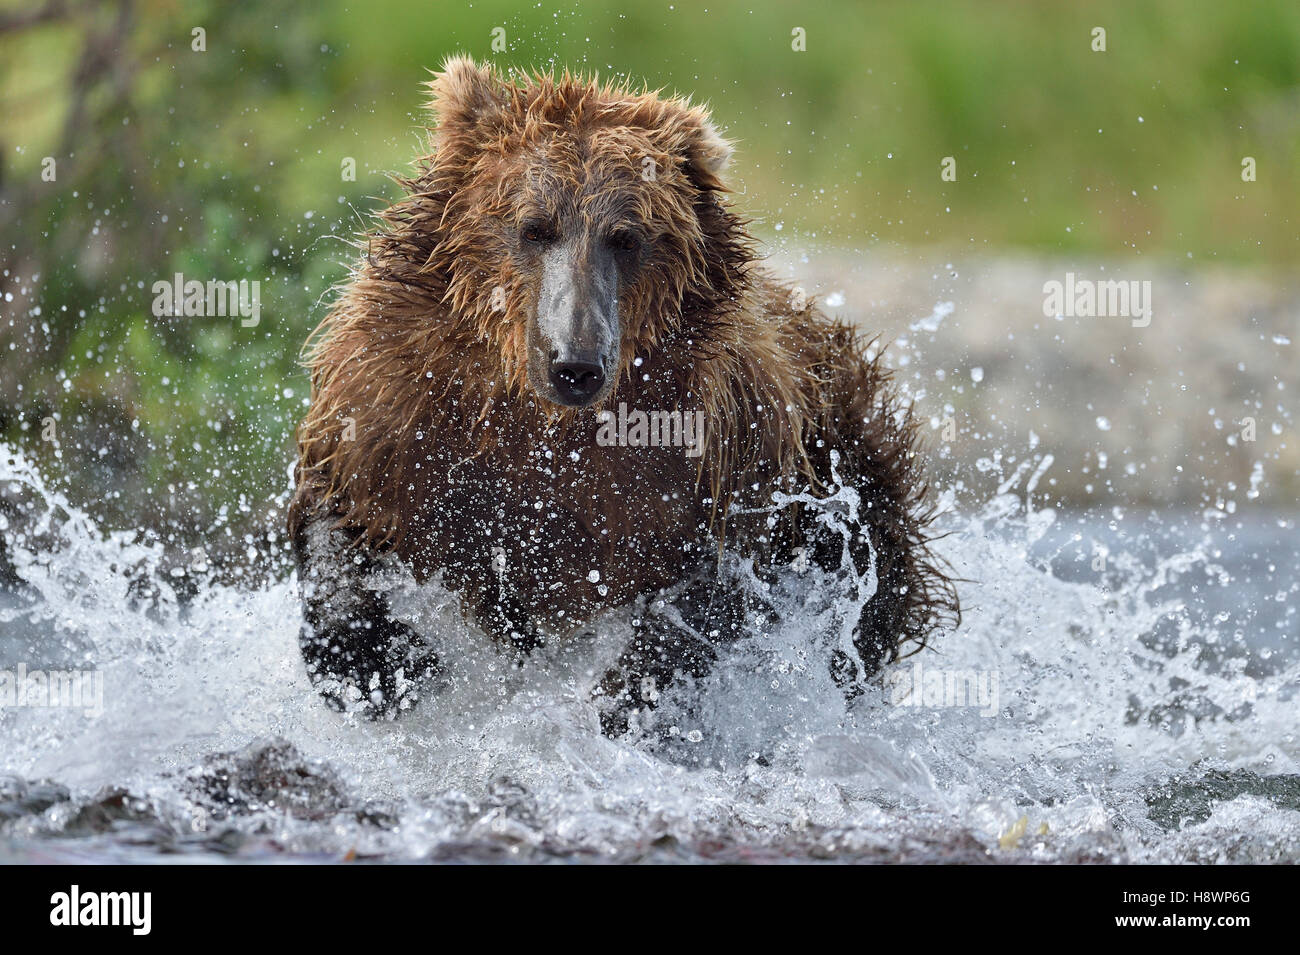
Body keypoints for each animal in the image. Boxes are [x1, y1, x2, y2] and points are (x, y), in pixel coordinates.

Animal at [286, 56, 959, 735]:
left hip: (857, 477)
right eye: (535, 227)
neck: (546, 423)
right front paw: (384, 664)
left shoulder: (723, 441)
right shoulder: (397, 404)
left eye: (626, 236)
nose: (576, 363)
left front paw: (626, 699)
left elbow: (721, 580)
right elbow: (341, 512)